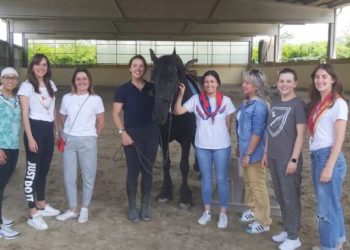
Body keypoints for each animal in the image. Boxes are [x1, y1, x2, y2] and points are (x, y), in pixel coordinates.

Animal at [150, 48, 200, 209]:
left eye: (172, 79)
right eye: (153, 80)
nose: (157, 116)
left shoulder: (186, 138)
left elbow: (184, 166)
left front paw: (185, 196)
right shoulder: (163, 139)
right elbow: (166, 164)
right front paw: (166, 191)